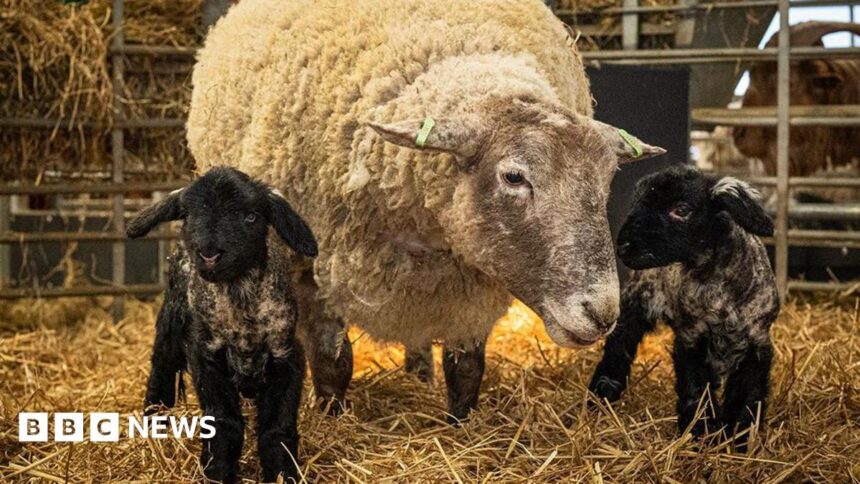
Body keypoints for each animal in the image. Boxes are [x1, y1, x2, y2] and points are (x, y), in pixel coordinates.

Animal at [127, 167, 318, 483]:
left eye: (250, 216)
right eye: (188, 215)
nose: (209, 253)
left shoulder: (287, 357)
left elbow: (276, 429)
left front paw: (283, 473)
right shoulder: (206, 357)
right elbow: (224, 425)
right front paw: (218, 472)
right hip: (172, 316)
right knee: (162, 366)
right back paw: (155, 422)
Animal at [186, 0, 665, 422]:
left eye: (607, 179)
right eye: (514, 177)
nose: (602, 313)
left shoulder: (470, 289)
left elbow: (466, 369)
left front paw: (461, 425)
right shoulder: (313, 270)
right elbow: (332, 363)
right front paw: (331, 418)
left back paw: (419, 374)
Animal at [588, 165, 780, 451]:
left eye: (681, 209)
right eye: (637, 204)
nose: (623, 246)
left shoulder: (756, 343)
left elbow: (747, 397)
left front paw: (738, 440)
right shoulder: (691, 339)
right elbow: (695, 390)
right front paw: (702, 435)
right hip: (638, 298)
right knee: (620, 344)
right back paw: (602, 392)